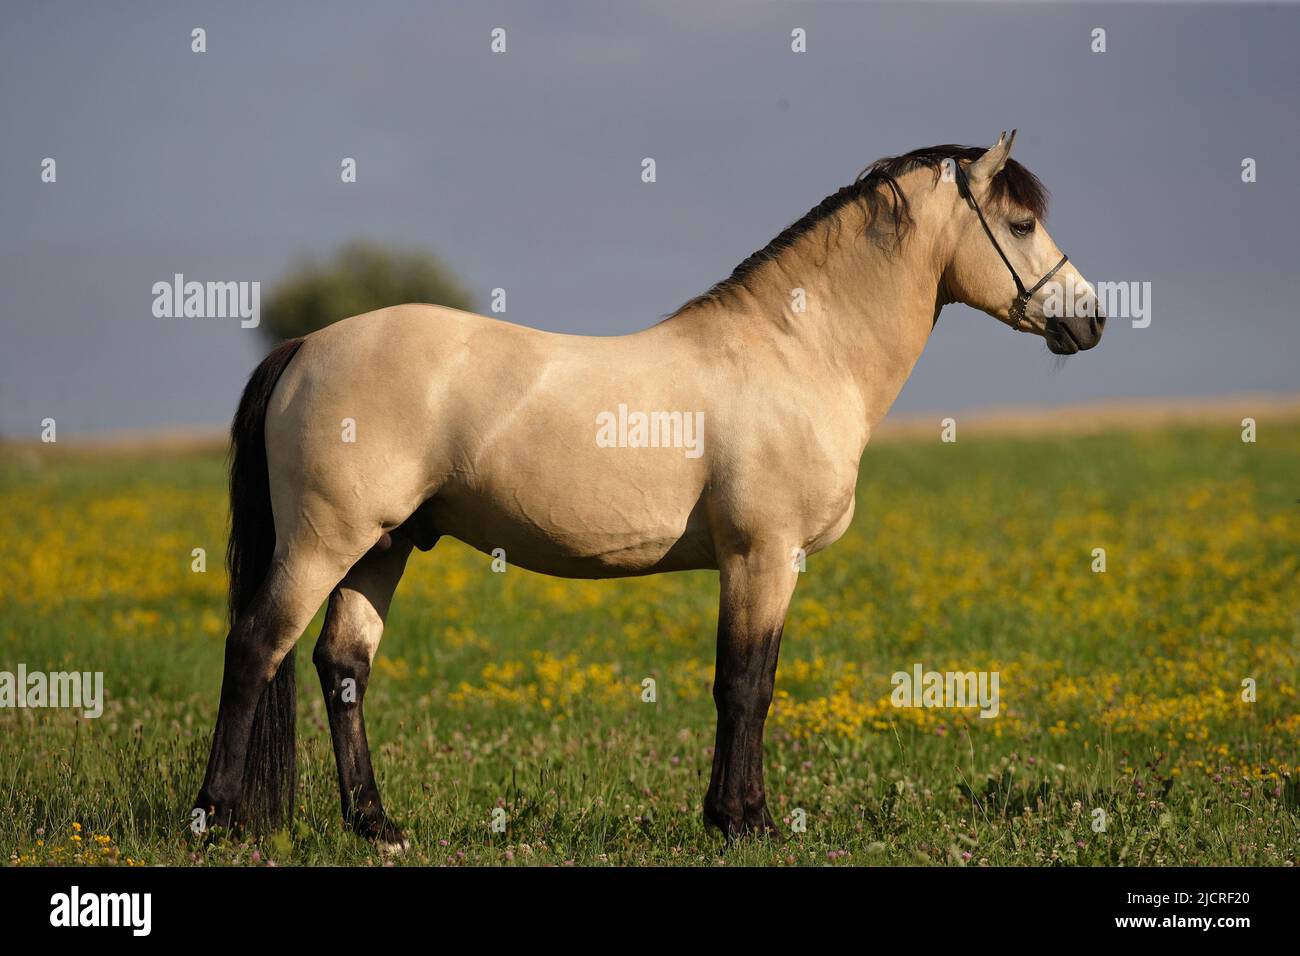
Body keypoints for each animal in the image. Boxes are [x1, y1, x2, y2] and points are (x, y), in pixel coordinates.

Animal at [192, 132, 1105, 851]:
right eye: (1021, 224)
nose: (1091, 318)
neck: (795, 353)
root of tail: (308, 346)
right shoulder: (760, 556)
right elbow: (745, 686)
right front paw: (744, 822)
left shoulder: (772, 564)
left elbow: (753, 683)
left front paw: (735, 814)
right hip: (324, 542)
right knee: (254, 648)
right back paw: (219, 817)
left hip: (381, 548)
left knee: (342, 667)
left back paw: (377, 826)